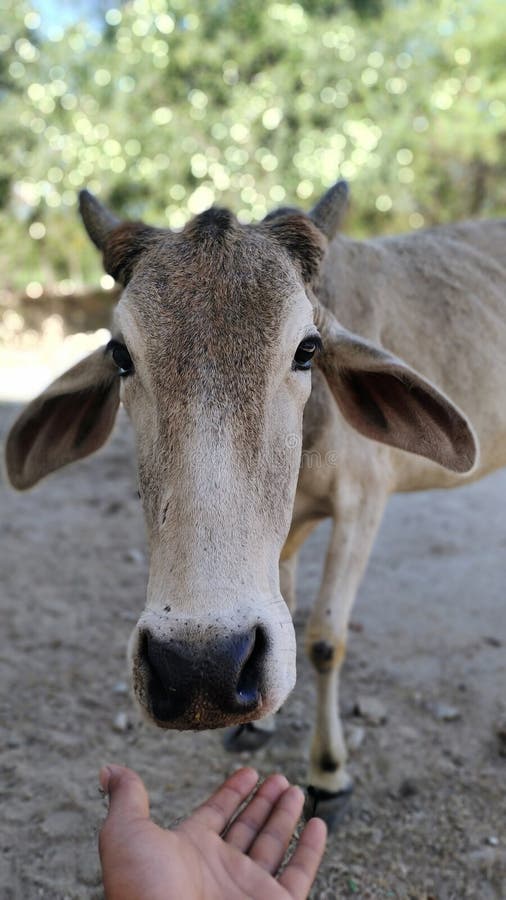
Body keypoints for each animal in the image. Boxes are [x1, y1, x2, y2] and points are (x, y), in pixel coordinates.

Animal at [6, 181, 505, 823]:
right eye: (120, 354)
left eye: (307, 349)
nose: (201, 668)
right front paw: (261, 725)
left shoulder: (364, 503)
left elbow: (323, 640)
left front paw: (329, 772)